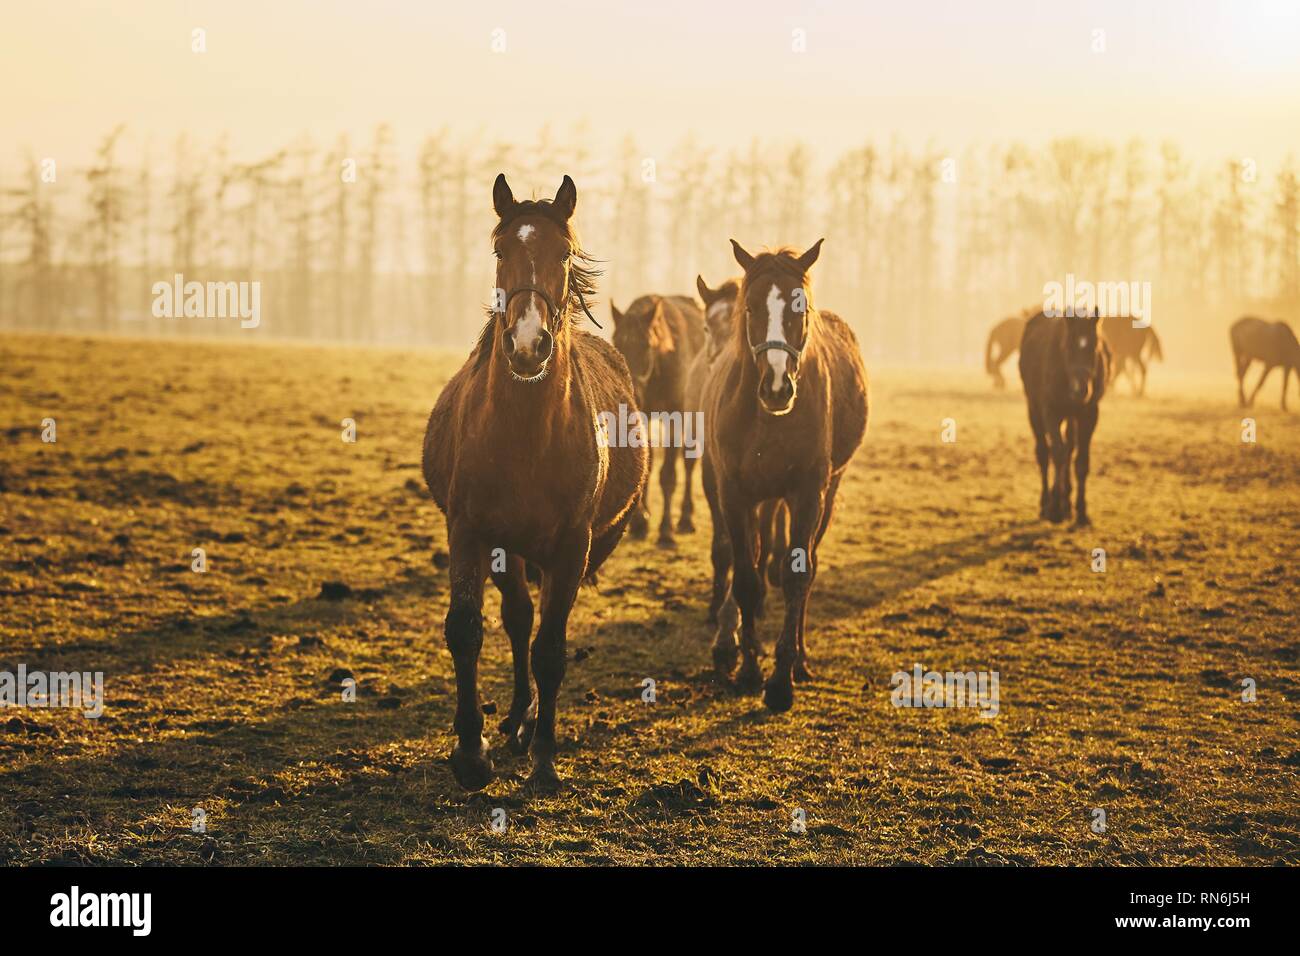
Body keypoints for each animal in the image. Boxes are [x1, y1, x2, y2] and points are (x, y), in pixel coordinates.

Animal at [422, 174, 648, 790]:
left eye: (564, 254)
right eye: (500, 251)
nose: (528, 344)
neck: (524, 433)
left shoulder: (571, 546)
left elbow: (550, 649)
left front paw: (545, 758)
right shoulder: (470, 531)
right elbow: (467, 630)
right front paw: (470, 751)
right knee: (517, 618)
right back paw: (516, 717)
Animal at [610, 293, 705, 546]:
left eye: (646, 345)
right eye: (617, 343)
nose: (632, 396)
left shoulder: (674, 418)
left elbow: (668, 475)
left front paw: (665, 530)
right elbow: (645, 466)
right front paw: (640, 521)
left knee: (689, 462)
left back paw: (685, 519)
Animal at [701, 239, 869, 712]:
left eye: (800, 306)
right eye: (751, 307)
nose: (777, 386)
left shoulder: (808, 493)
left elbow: (797, 576)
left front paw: (780, 679)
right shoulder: (734, 493)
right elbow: (746, 577)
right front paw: (748, 668)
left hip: (827, 490)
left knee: (809, 565)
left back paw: (800, 658)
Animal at [1018, 308, 1112, 527]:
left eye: (1095, 347)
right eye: (1068, 347)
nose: (1081, 390)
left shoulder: (1089, 414)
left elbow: (1081, 460)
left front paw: (1081, 512)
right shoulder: (1050, 411)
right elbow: (1057, 454)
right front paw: (1054, 509)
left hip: (1070, 415)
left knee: (1069, 448)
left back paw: (1066, 504)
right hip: (1034, 410)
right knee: (1045, 453)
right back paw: (1046, 503)